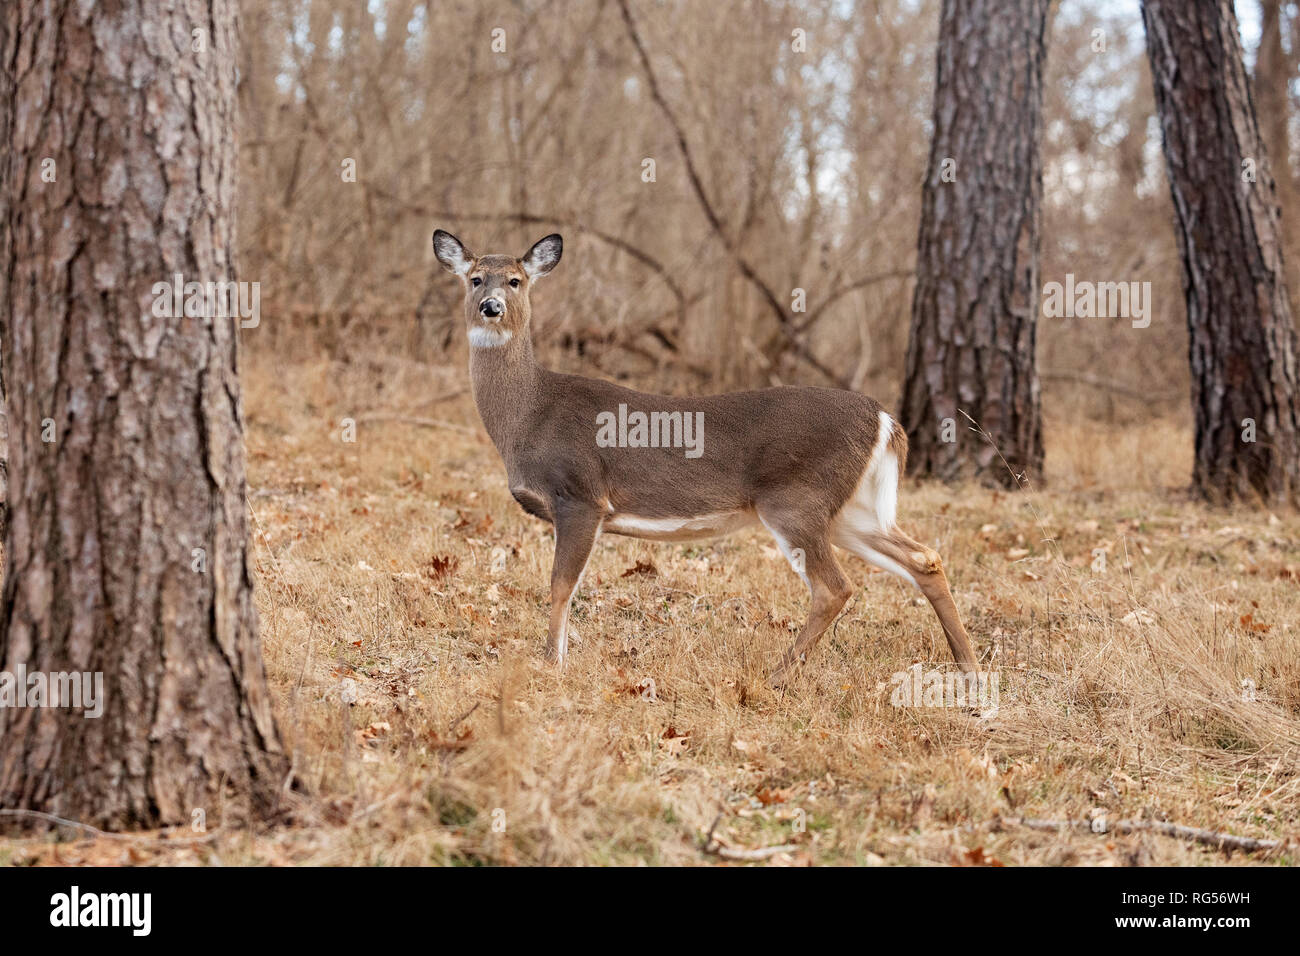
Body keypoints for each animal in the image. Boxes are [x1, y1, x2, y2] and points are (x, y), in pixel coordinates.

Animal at [432, 229, 979, 685]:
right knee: (924, 558)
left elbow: (560, 585)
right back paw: (969, 667)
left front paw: (551, 663)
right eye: (475, 278)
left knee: (835, 588)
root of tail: (884, 419)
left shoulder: (581, 495)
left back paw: (776, 675)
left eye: (517, 280)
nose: (491, 307)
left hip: (795, 500)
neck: (530, 414)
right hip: (849, 509)